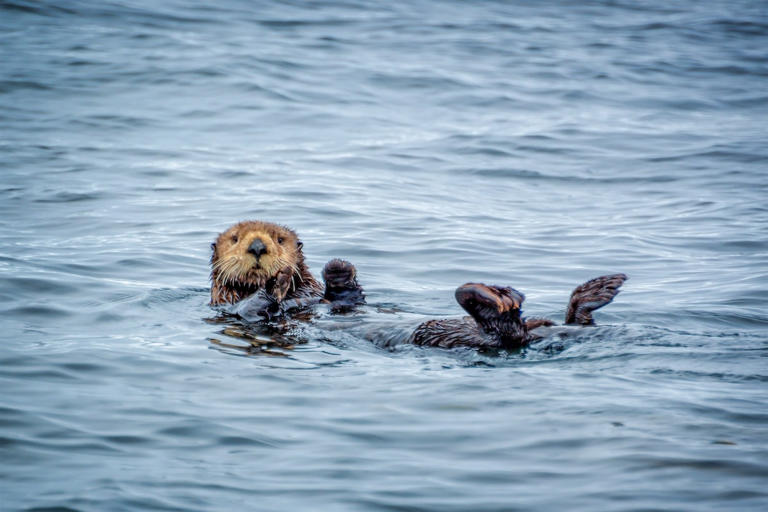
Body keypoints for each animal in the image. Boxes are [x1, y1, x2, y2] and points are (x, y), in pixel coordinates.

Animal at [210, 221, 363, 318]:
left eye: (280, 240)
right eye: (235, 239)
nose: (257, 247)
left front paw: (338, 269)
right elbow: (248, 313)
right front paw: (275, 285)